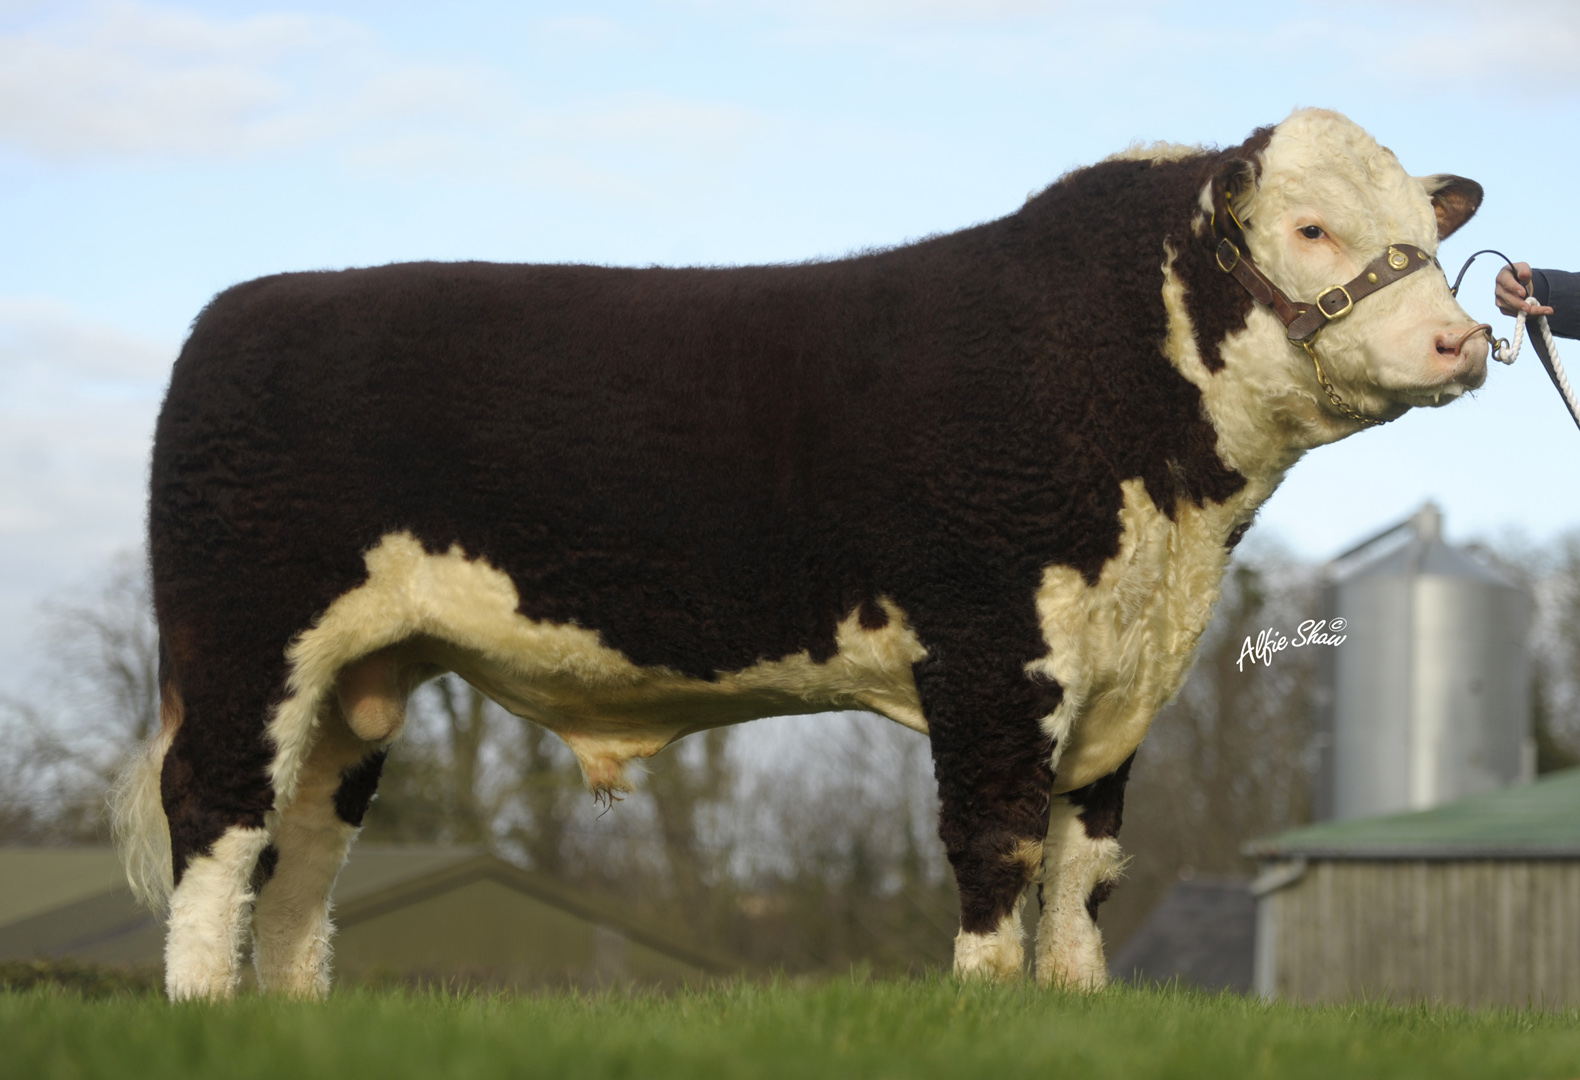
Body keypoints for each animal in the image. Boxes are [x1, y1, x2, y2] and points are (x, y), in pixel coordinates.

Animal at [112, 108, 1489, 1000]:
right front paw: (982, 1007)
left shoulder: (1117, 678)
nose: (1459, 341)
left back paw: (290, 1015)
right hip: (247, 637)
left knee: (303, 849)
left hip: (359, 679)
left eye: (1427, 231)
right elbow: (998, 842)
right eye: (1307, 228)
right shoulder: (988, 648)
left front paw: (1070, 1007)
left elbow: (1084, 865)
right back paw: (203, 1007)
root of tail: (240, 309)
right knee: (220, 819)